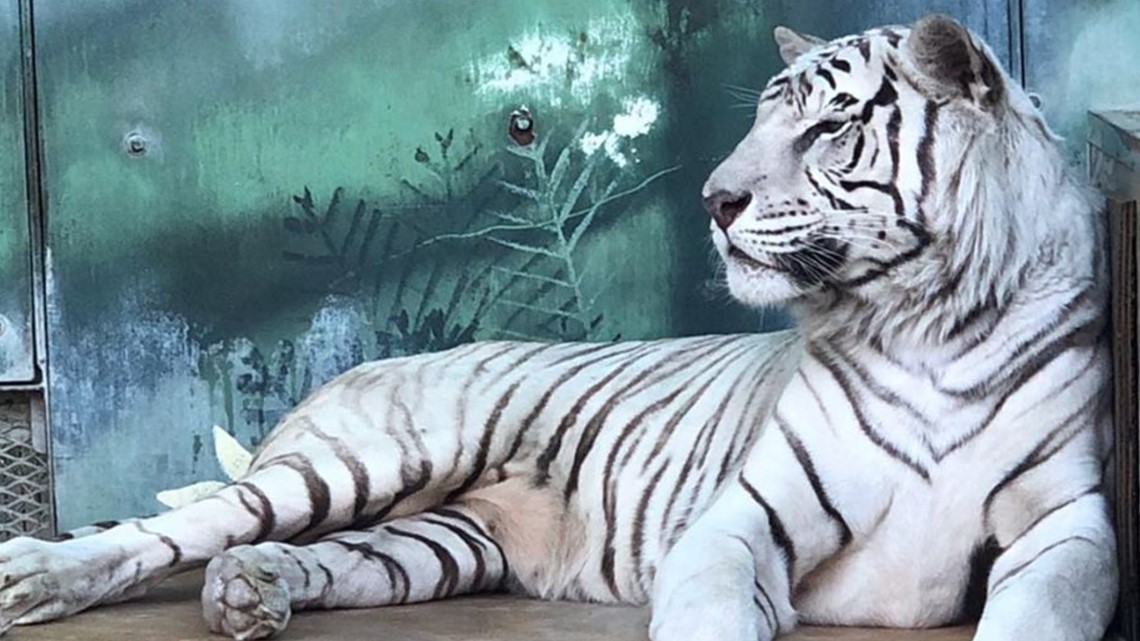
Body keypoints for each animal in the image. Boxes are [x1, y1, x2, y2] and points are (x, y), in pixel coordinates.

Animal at [0, 13, 1116, 641]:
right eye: (761, 120)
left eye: (828, 126)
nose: (713, 199)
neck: (931, 319)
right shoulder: (735, 521)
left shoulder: (1067, 526)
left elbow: (1044, 612)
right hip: (361, 460)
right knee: (167, 530)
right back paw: (34, 576)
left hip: (437, 538)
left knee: (318, 552)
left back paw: (251, 588)